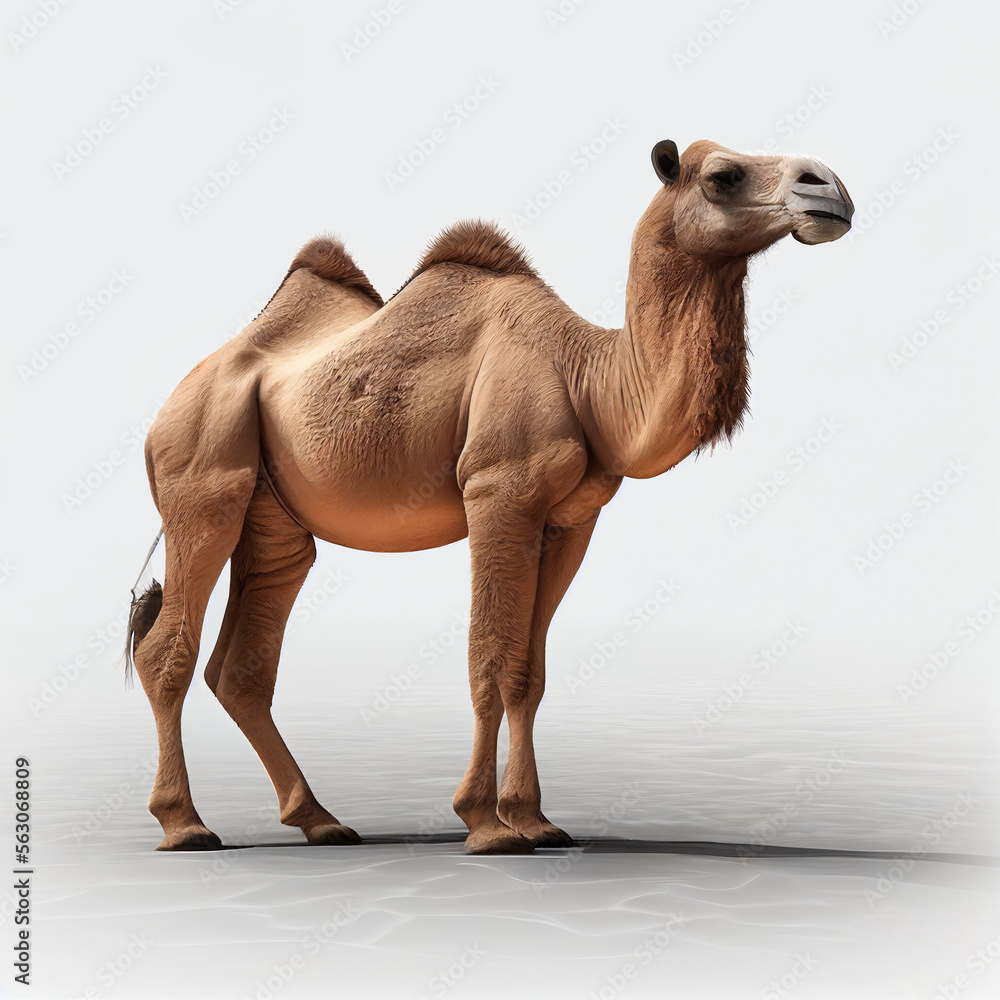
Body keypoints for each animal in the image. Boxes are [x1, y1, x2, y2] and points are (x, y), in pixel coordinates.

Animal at [125, 138, 853, 854]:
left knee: (243, 662)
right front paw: (484, 824)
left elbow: (529, 671)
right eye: (724, 175)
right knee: (165, 649)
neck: (589, 380)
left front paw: (534, 820)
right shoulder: (499, 493)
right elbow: (491, 659)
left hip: (272, 519)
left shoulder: (569, 522)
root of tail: (164, 413)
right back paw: (185, 824)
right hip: (204, 479)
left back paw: (320, 819)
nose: (831, 190)